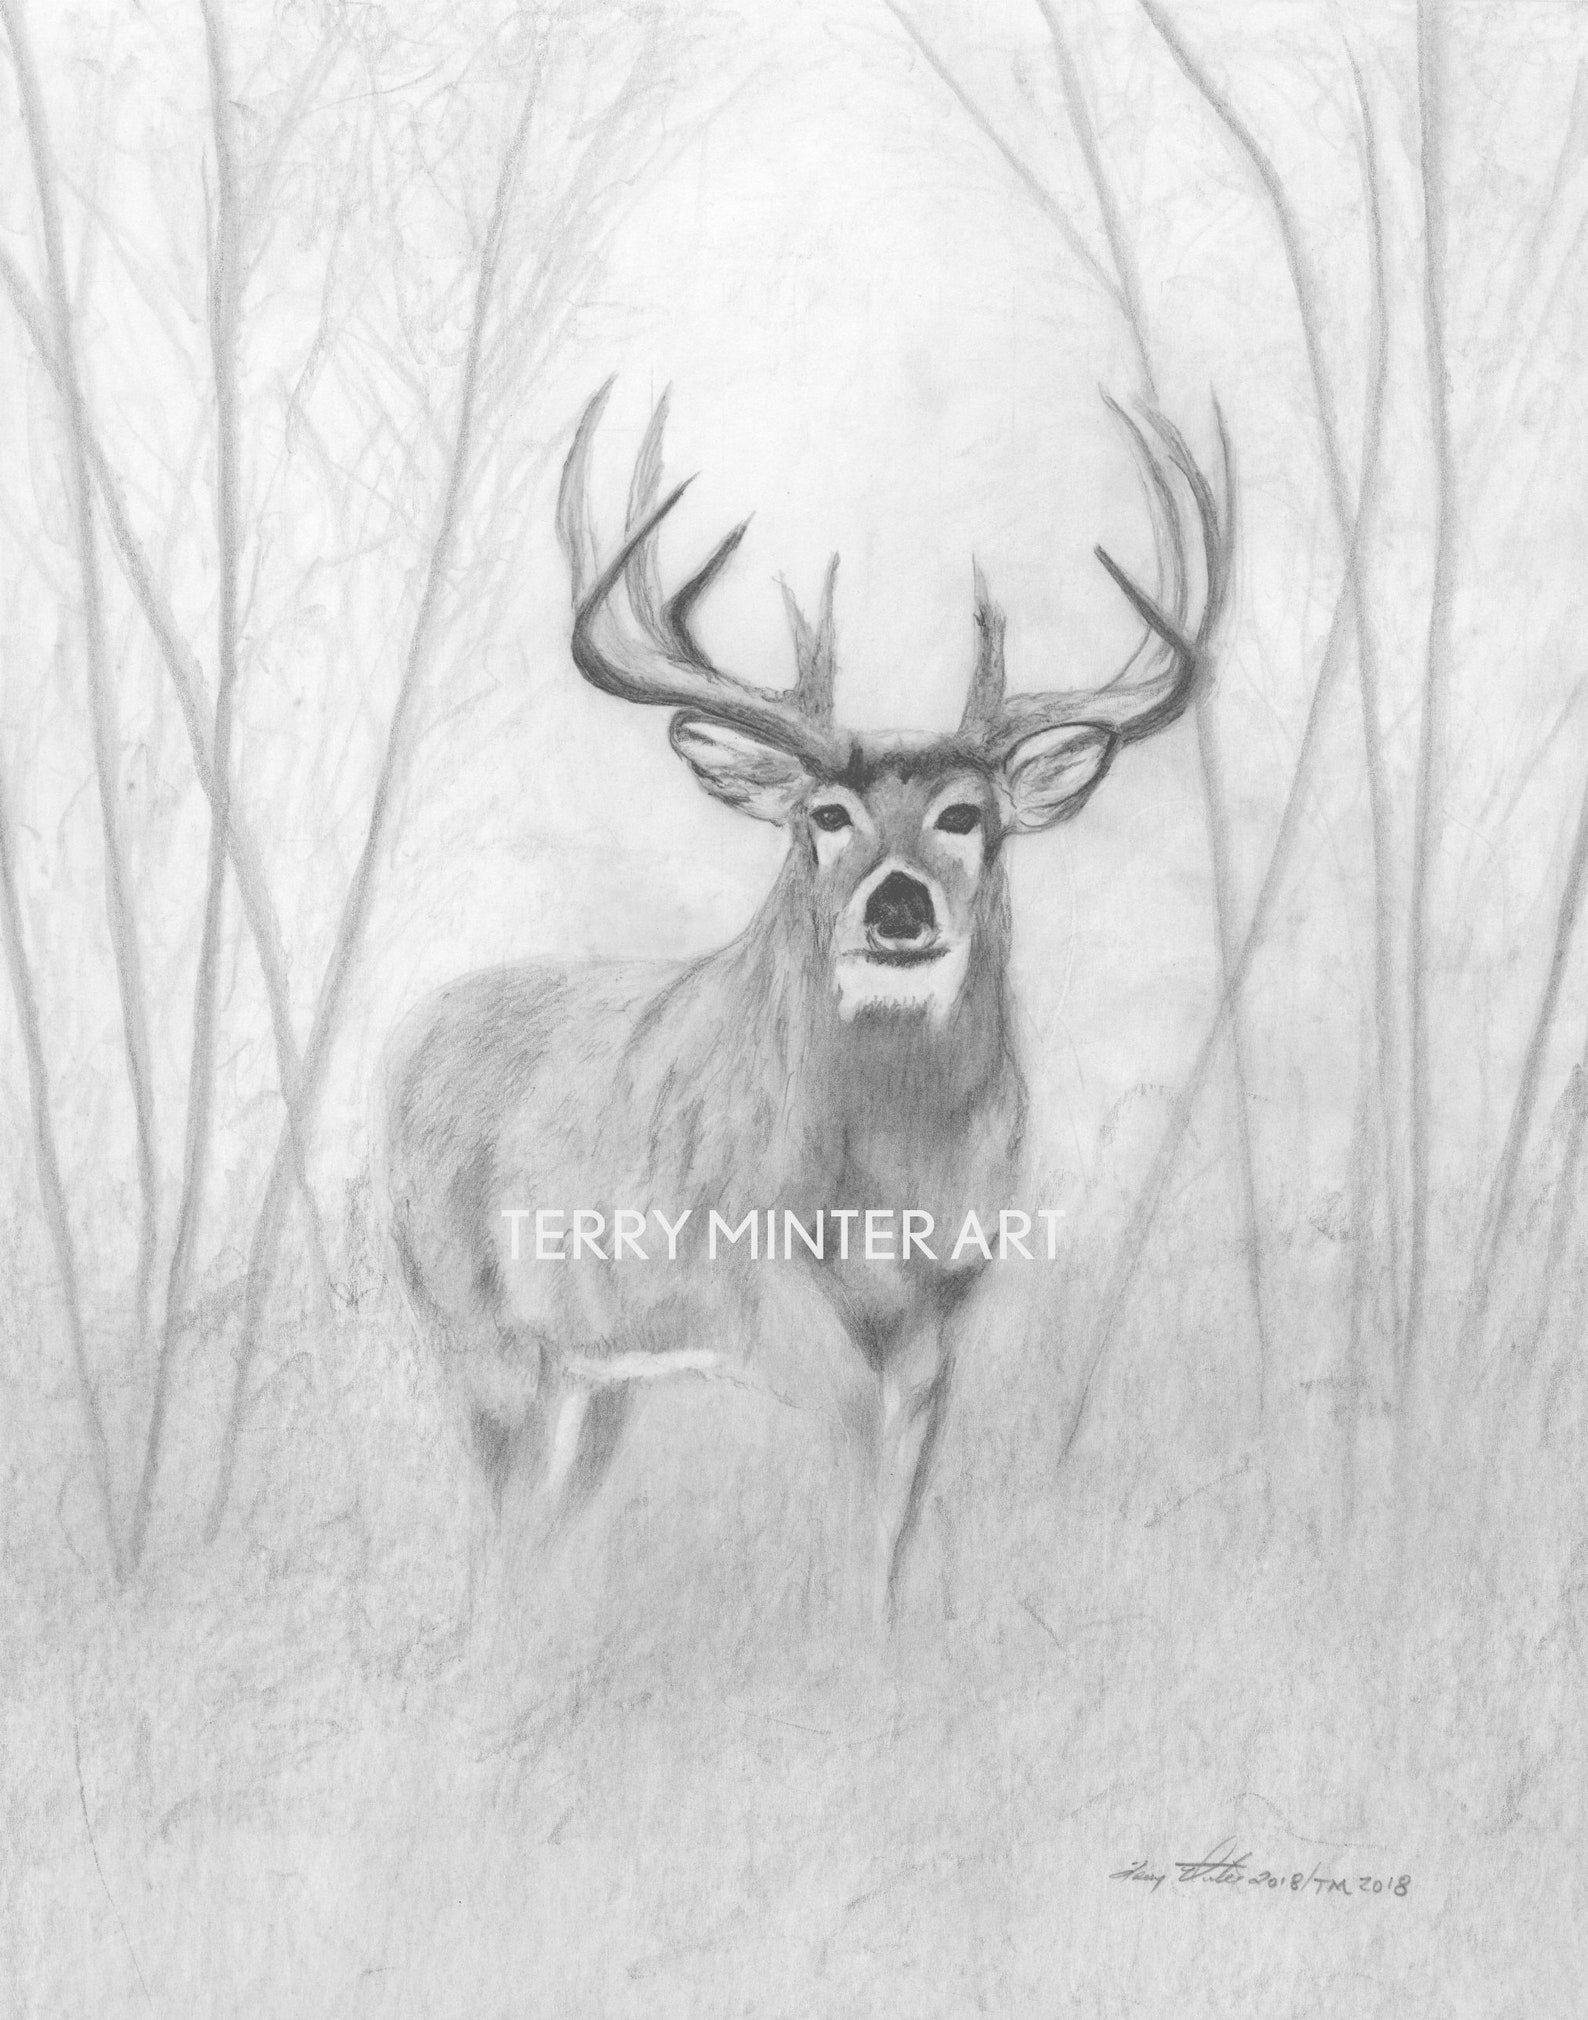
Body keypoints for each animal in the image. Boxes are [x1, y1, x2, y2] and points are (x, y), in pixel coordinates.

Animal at [380, 381, 1233, 1625]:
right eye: (826, 814)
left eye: (967, 813)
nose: (897, 902)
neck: (891, 1166)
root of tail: (413, 1031)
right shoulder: (757, 1277)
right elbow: (850, 1466)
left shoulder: (939, 1307)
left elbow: (894, 1512)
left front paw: (880, 1642)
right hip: (472, 1321)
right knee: (505, 1517)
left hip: (594, 1366)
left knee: (544, 1524)